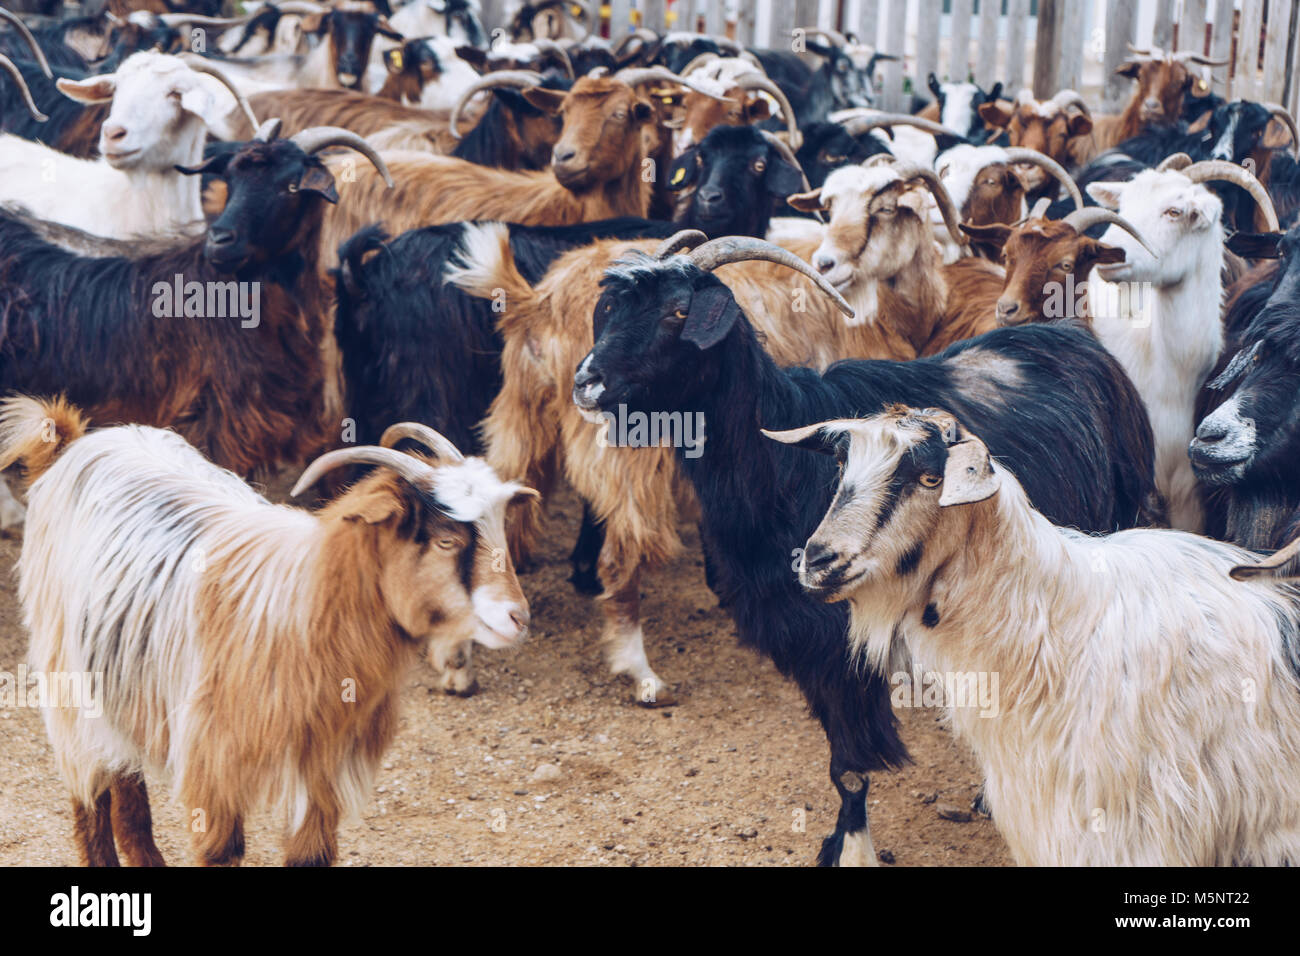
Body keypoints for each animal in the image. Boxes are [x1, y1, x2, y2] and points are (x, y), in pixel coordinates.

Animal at [3, 397, 532, 866]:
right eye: (446, 541)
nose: (518, 617)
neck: (309, 610)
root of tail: (76, 444)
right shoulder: (214, 765)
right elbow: (220, 851)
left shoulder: (322, 773)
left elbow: (311, 855)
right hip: (69, 678)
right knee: (89, 788)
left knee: (125, 776)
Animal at [572, 233, 1158, 865]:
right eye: (610, 309)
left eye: (679, 312)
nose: (586, 382)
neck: (779, 465)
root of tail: (1076, 339)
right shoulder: (803, 641)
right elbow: (841, 765)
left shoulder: (841, 640)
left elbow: (850, 768)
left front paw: (854, 849)